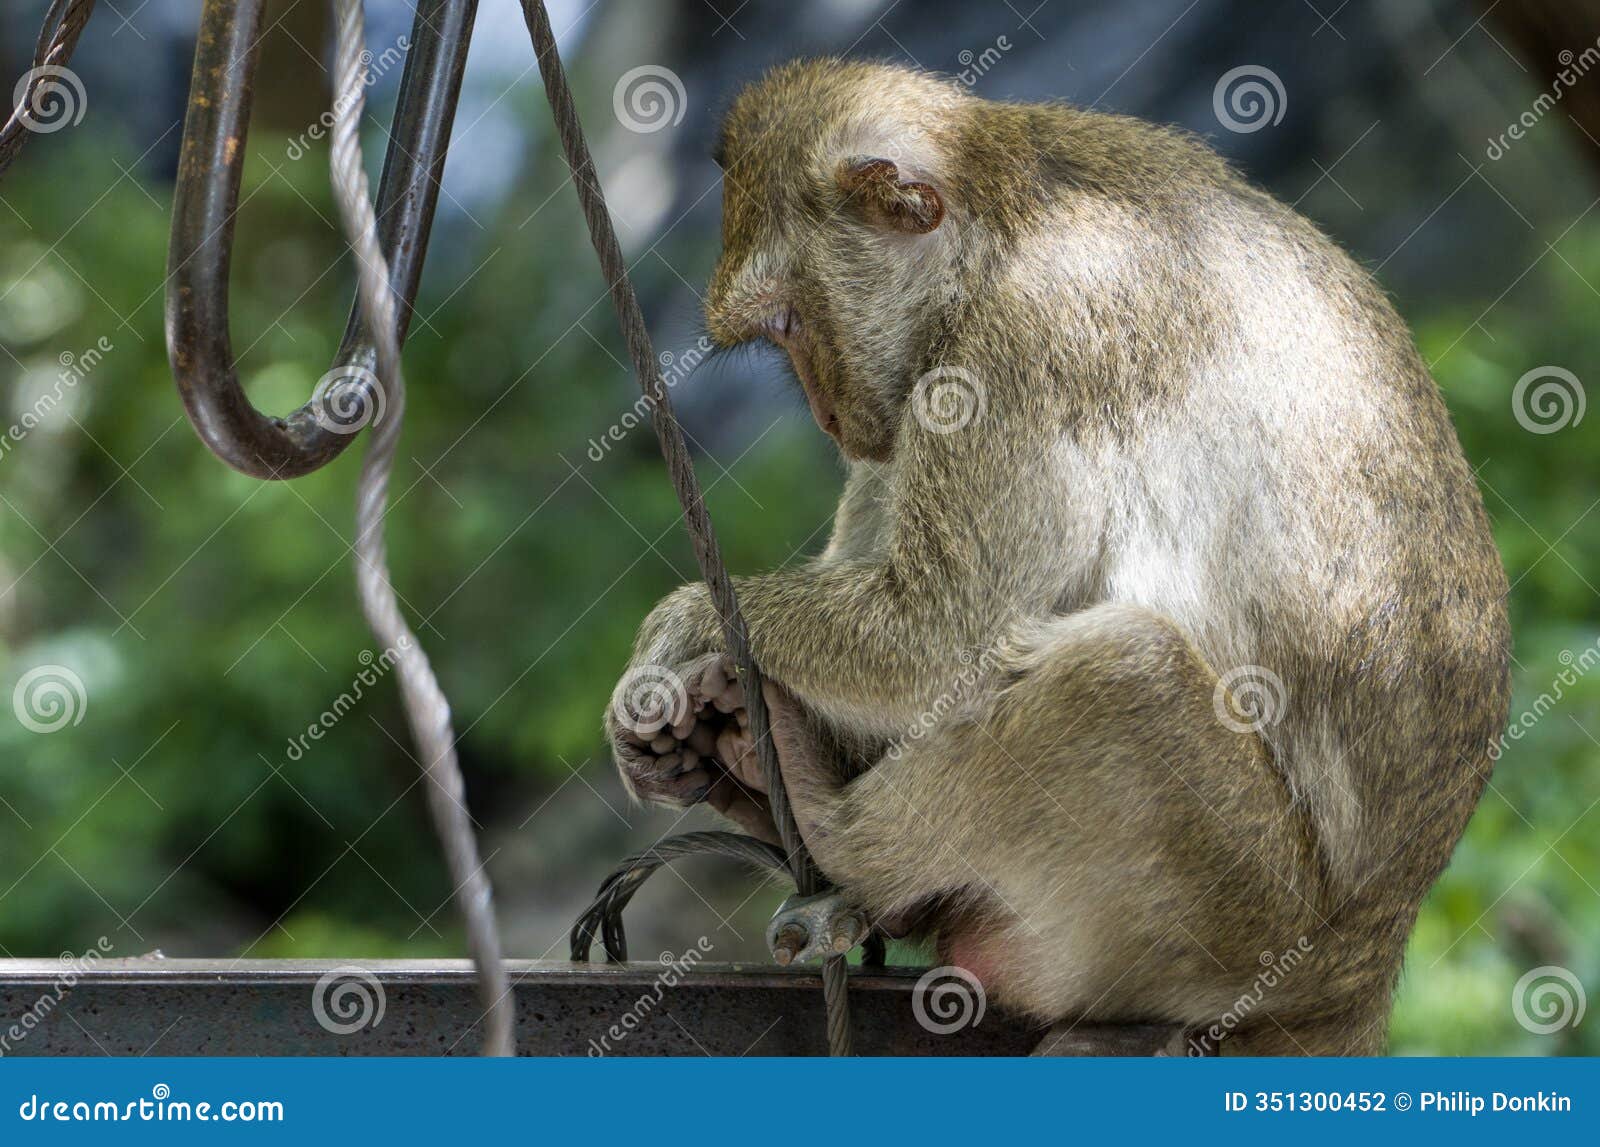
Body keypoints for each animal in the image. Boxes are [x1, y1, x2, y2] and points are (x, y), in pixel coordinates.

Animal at [605, 58, 1509, 1056]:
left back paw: (826, 816)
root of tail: (1363, 971)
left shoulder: (1016, 343)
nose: (829, 415)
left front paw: (677, 629)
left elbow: (938, 638)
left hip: (1245, 925)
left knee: (1120, 675)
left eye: (791, 321)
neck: (1006, 216)